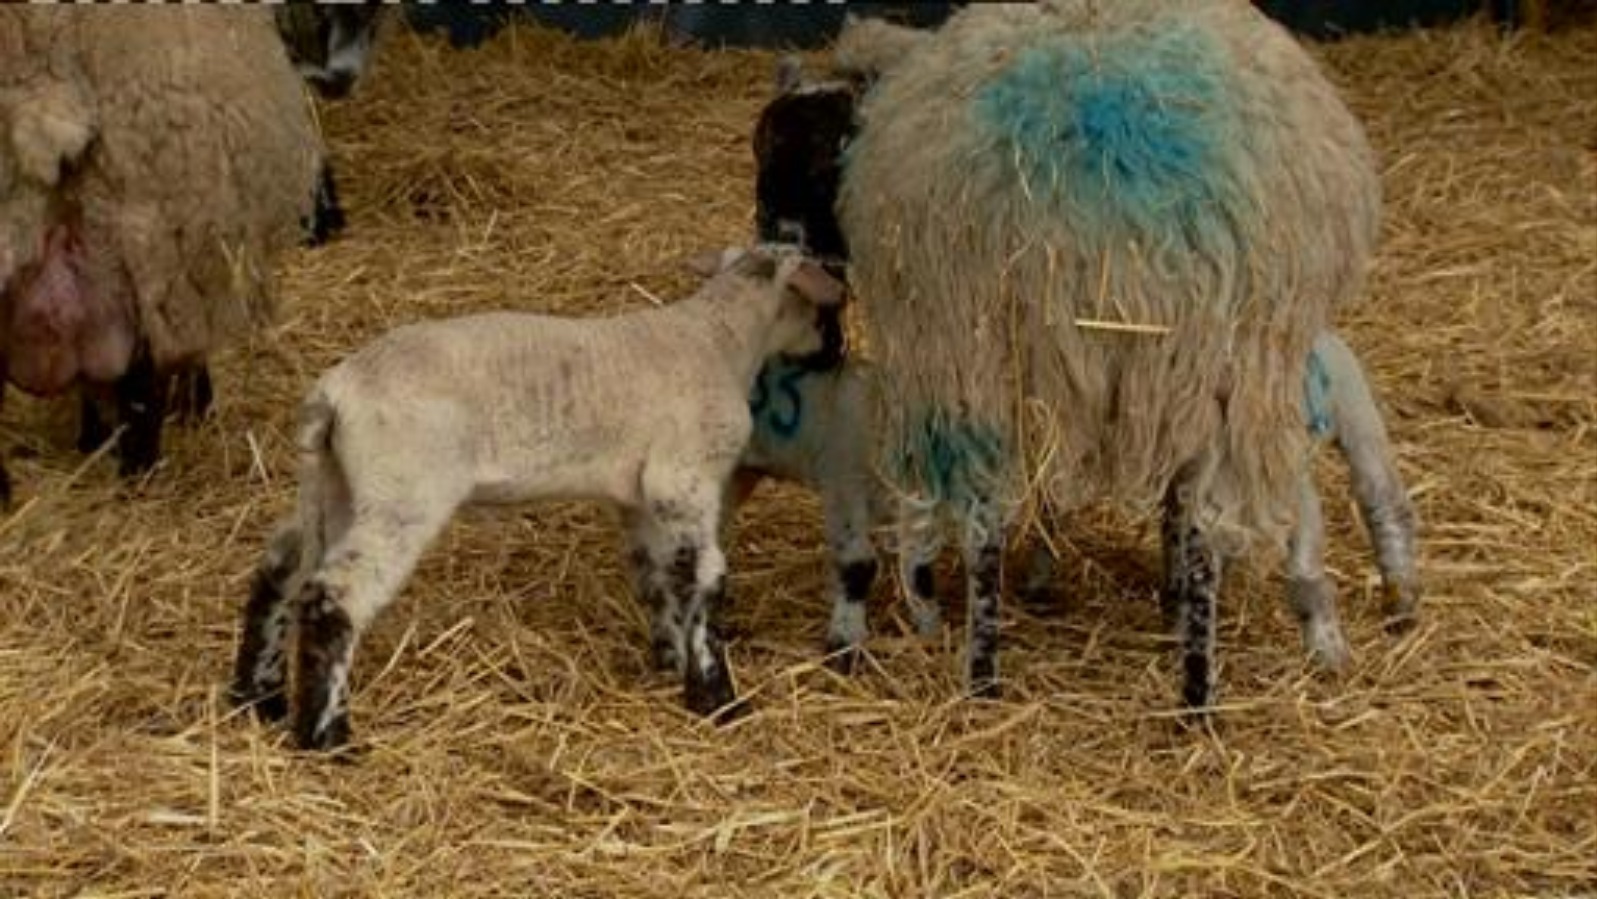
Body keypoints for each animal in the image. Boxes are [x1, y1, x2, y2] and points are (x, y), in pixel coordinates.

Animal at [228, 244, 847, 751]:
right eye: (829, 309)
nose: (838, 352)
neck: (719, 338)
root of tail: (333, 393)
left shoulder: (641, 499)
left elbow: (658, 580)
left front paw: (670, 664)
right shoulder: (684, 481)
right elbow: (704, 578)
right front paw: (716, 698)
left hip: (334, 487)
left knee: (281, 568)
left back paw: (258, 697)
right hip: (400, 495)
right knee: (335, 594)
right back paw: (325, 734)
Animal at [750, 2, 1385, 709]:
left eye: (801, 160)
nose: (775, 242)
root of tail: (1131, 195)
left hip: (976, 343)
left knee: (984, 522)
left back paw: (983, 676)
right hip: (1219, 365)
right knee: (1199, 523)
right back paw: (1194, 690)